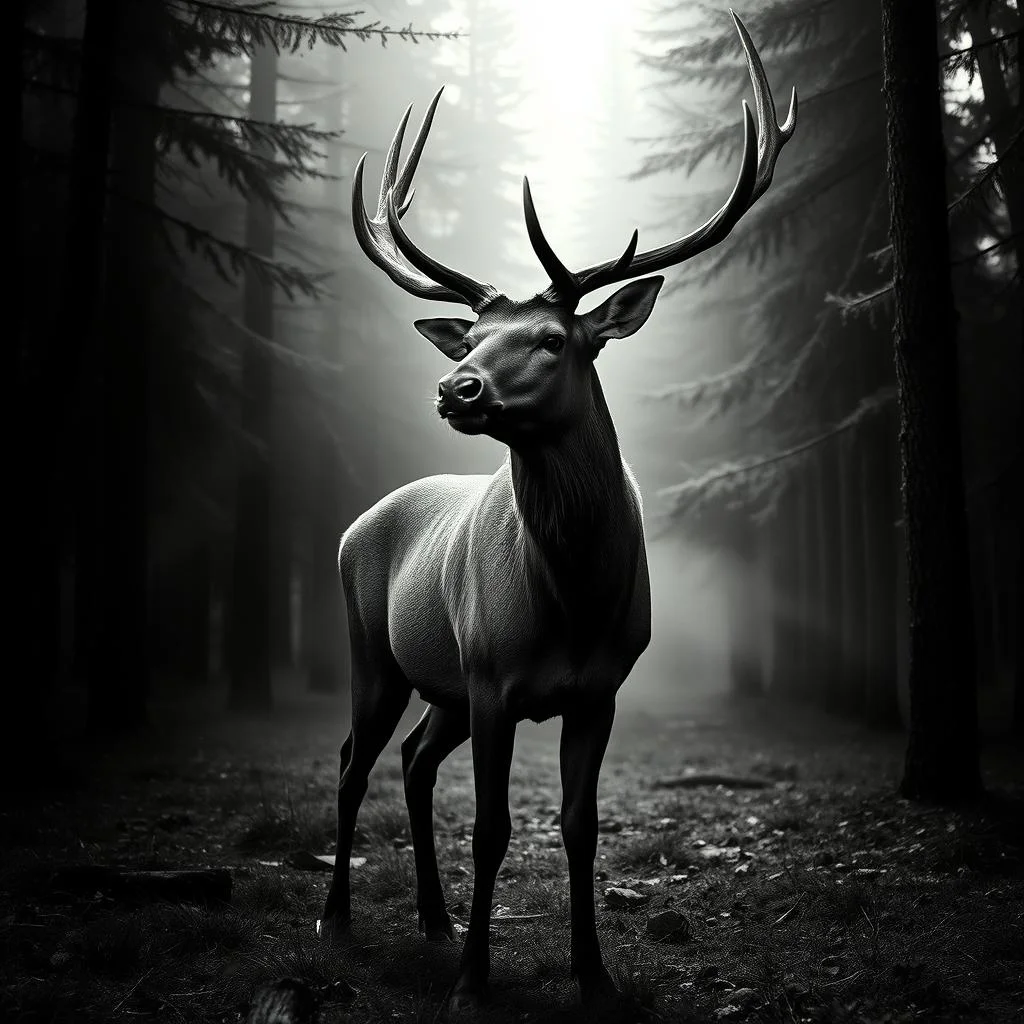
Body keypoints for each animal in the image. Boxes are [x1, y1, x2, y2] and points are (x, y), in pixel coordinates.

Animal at [318, 12, 796, 1010]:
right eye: (474, 336)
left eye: (549, 339)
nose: (455, 386)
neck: (573, 598)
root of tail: (357, 523)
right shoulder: (494, 678)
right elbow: (495, 827)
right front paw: (473, 985)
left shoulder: (601, 686)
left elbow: (580, 824)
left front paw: (593, 973)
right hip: (379, 650)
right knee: (353, 761)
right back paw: (338, 917)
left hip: (444, 685)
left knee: (414, 759)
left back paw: (432, 918)